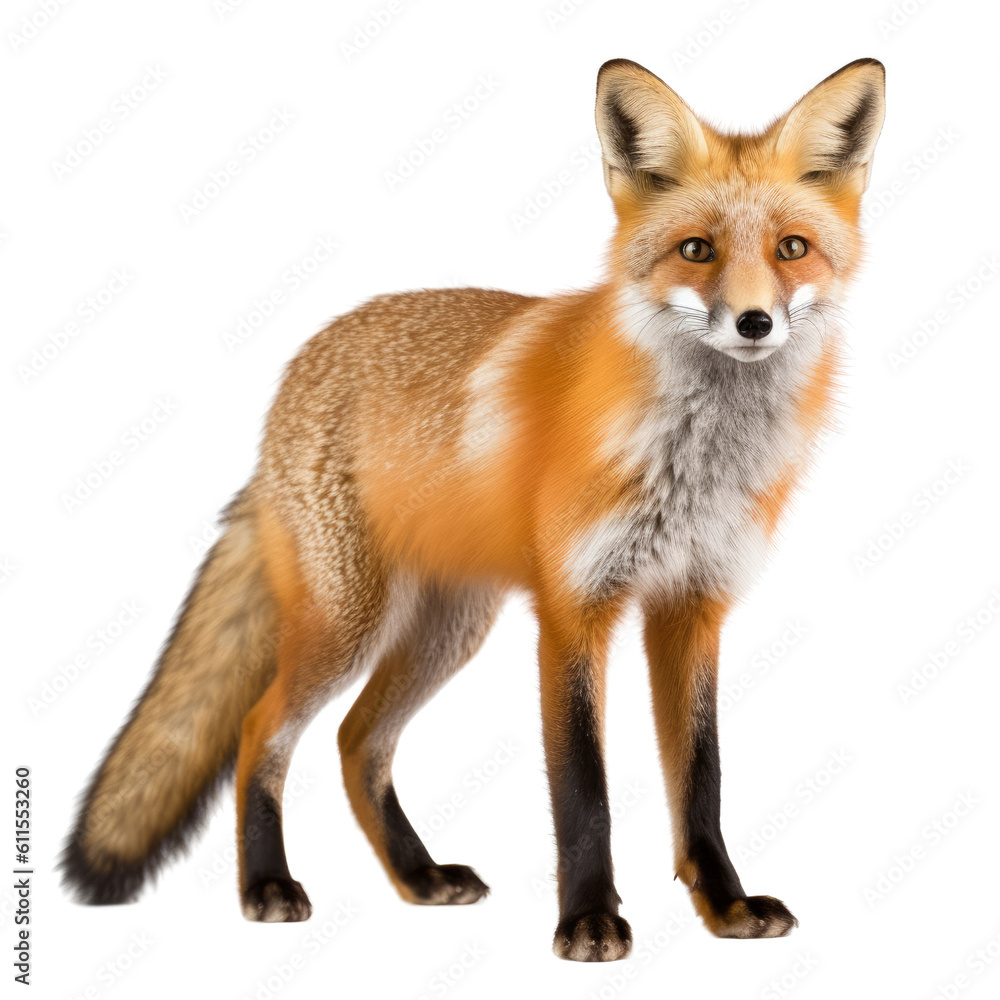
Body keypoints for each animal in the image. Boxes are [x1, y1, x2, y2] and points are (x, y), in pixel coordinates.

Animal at [62, 57, 886, 961]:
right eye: (696, 250)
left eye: (792, 249)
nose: (754, 321)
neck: (695, 462)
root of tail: (293, 376)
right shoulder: (572, 608)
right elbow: (582, 787)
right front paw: (588, 920)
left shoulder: (693, 605)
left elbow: (701, 780)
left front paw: (725, 906)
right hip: (348, 624)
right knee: (261, 731)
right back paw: (266, 886)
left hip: (448, 628)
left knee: (358, 740)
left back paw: (417, 877)